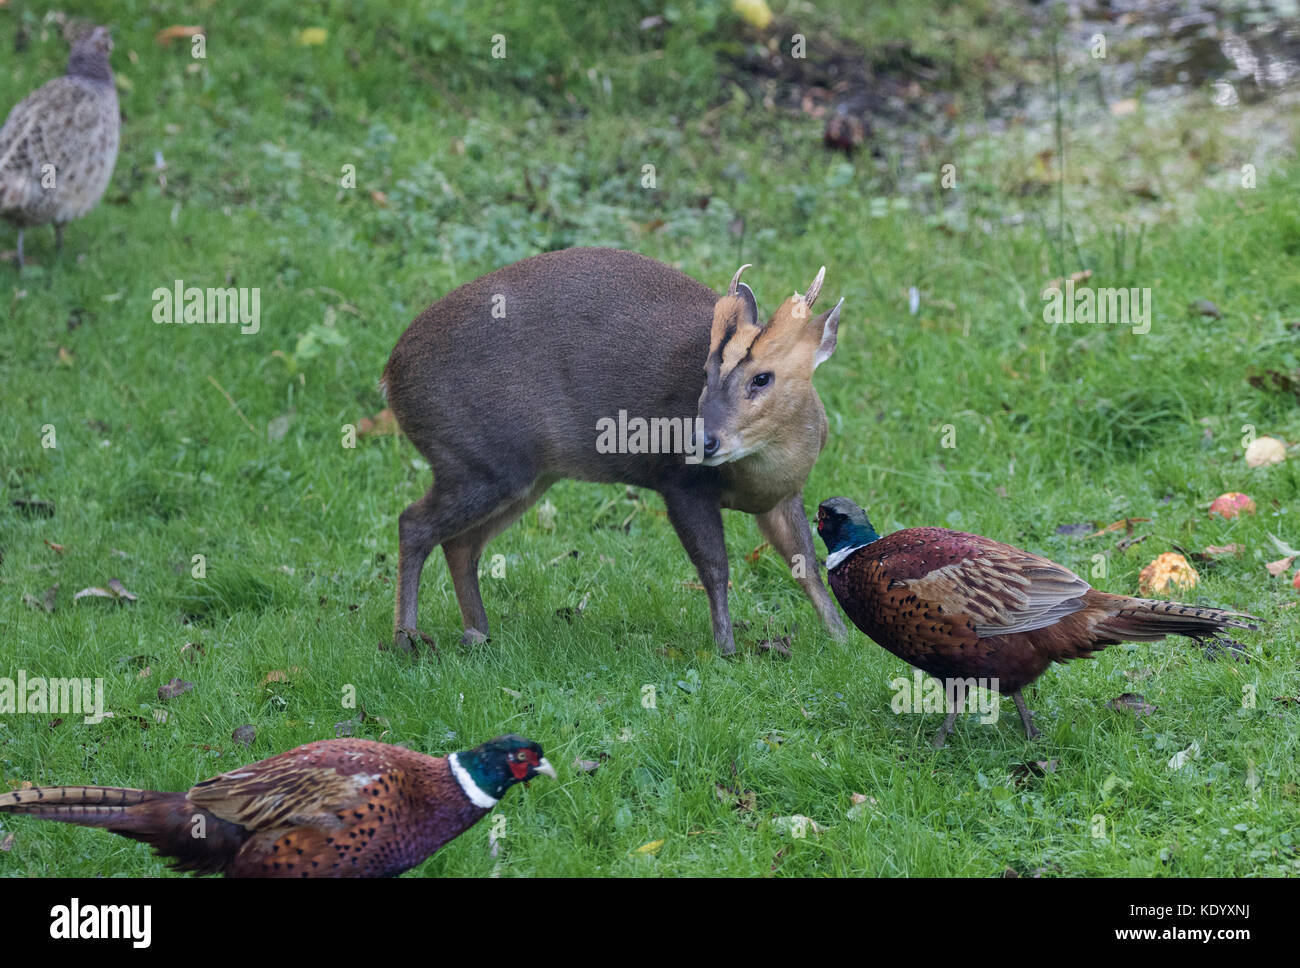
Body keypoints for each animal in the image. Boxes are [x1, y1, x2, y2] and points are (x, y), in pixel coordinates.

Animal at [380, 247, 846, 655]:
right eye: (705, 372)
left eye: (762, 378)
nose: (699, 440)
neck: (762, 469)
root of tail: (390, 375)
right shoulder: (678, 481)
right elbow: (716, 567)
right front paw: (727, 649)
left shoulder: (784, 494)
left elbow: (807, 564)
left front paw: (842, 638)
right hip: (477, 460)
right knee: (413, 523)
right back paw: (406, 638)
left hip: (525, 475)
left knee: (461, 544)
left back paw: (477, 633)